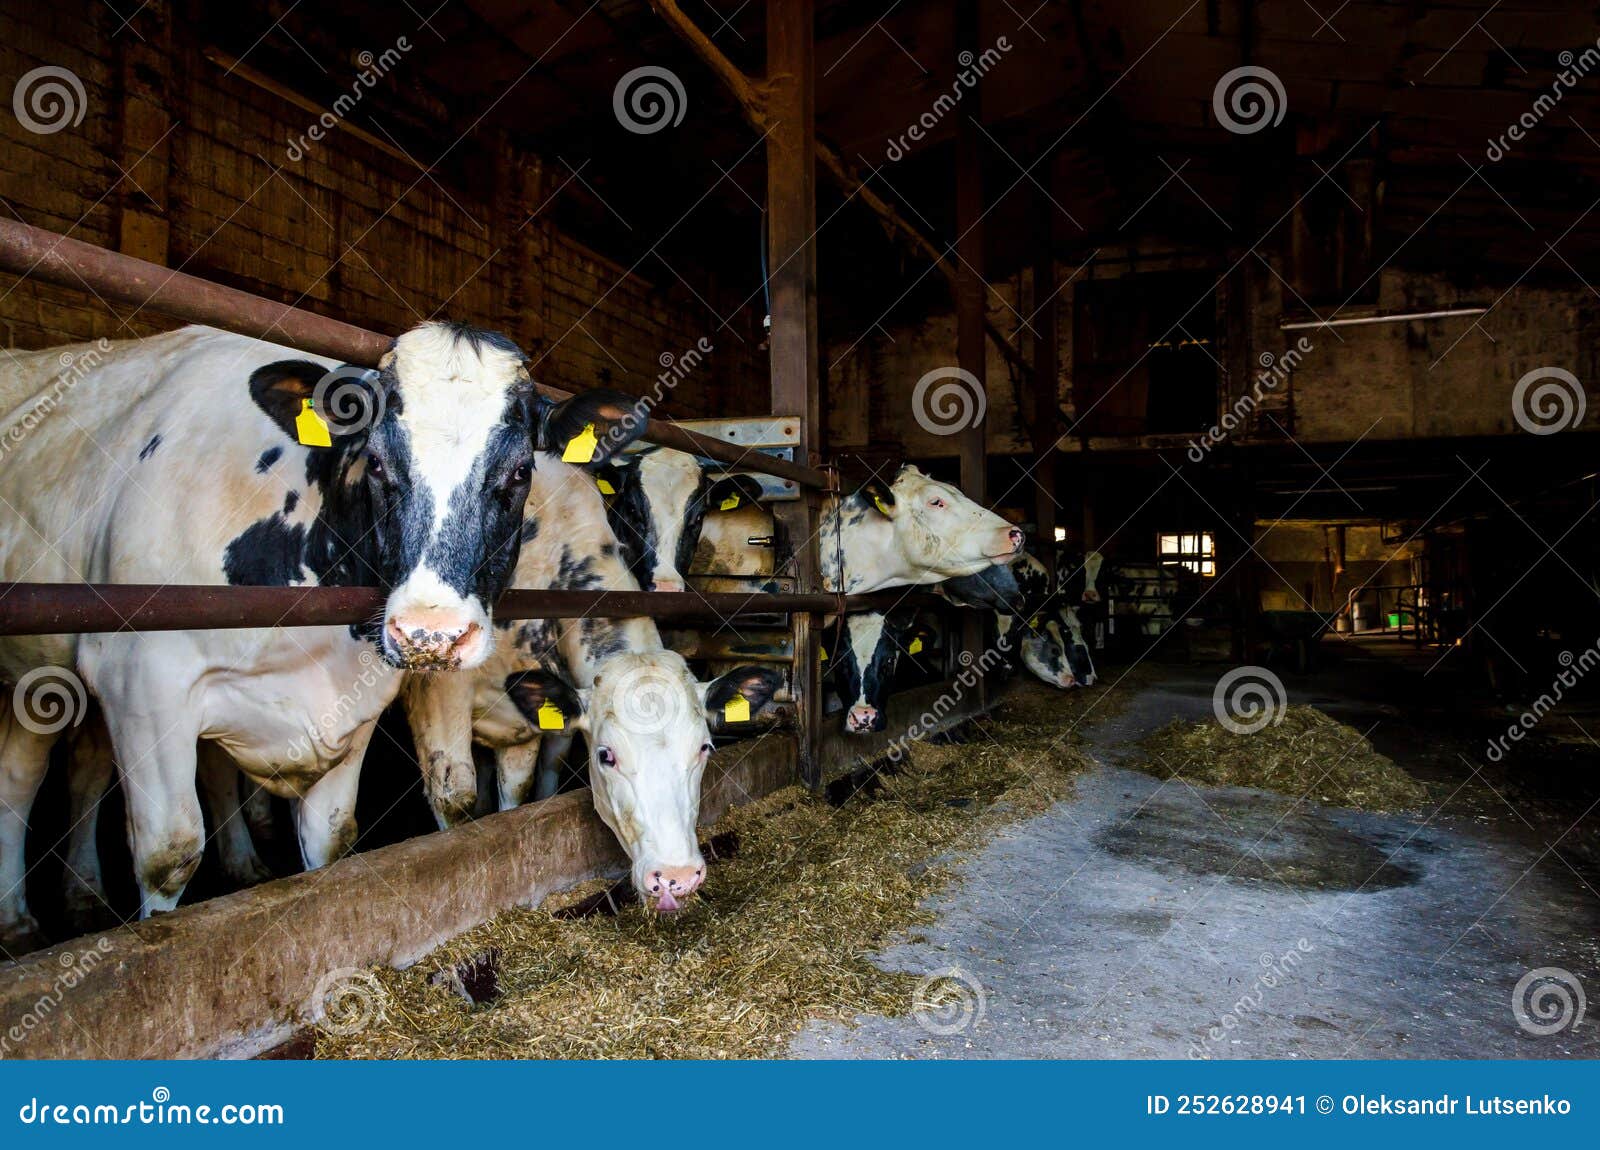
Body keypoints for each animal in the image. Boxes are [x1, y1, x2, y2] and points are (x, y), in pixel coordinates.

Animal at [0, 322, 629, 951]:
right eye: (374, 462)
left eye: (521, 471)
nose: (429, 634)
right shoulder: (142, 682)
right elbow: (169, 854)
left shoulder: (357, 710)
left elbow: (330, 840)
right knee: (30, 774)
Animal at [400, 451, 781, 913]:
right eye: (606, 756)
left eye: (704, 748)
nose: (676, 877)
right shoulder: (437, 700)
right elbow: (454, 798)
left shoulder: (526, 726)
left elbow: (521, 793)